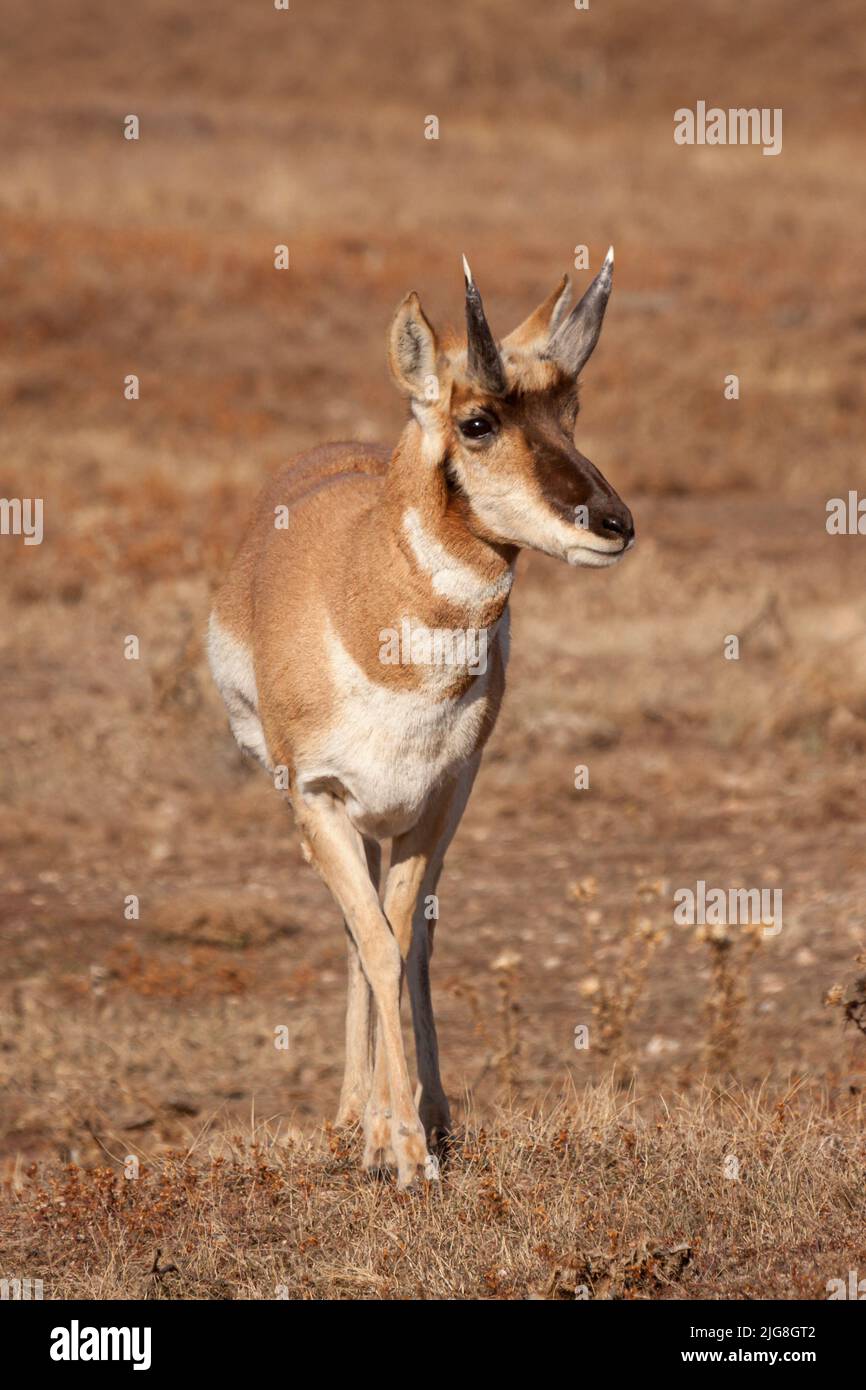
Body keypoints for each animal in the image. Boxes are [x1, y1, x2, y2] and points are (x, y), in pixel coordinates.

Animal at [208, 251, 634, 1188]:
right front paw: (398, 1153)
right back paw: (354, 1122)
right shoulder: (319, 800)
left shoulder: (435, 802)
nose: (614, 524)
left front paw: (407, 1136)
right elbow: (372, 940)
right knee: (358, 931)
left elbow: (400, 942)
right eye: (478, 422)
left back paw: (413, 1117)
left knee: (412, 939)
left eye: (572, 412)